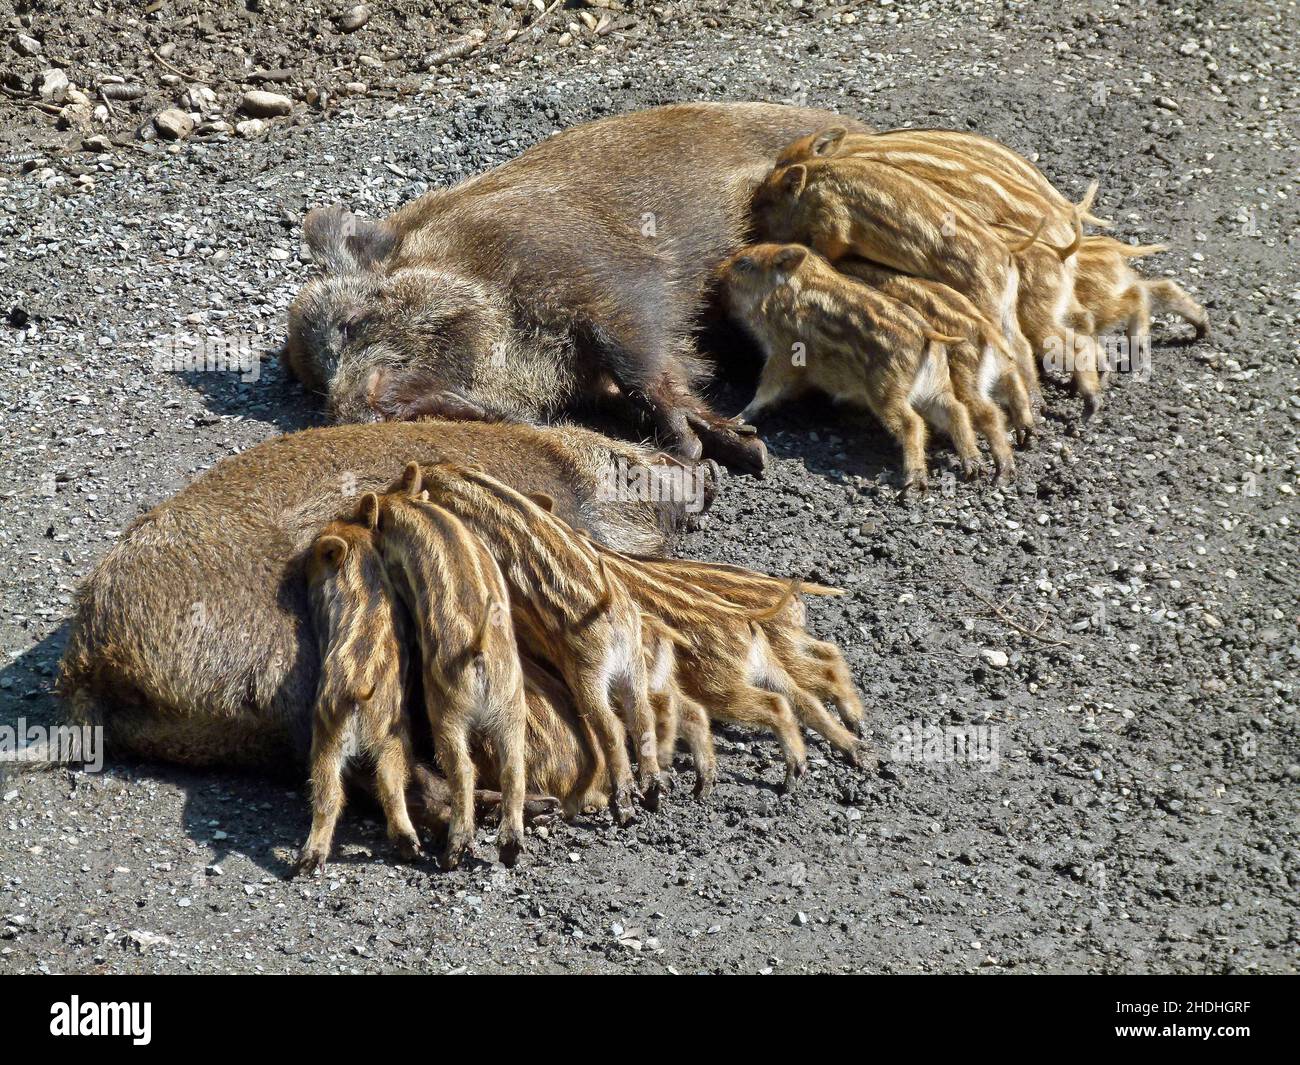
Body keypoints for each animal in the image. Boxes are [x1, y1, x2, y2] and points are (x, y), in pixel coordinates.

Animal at [283, 102, 871, 474]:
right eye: (318, 382)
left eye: (350, 324)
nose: (347, 412)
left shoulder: (605, 281)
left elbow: (645, 365)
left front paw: (705, 453)